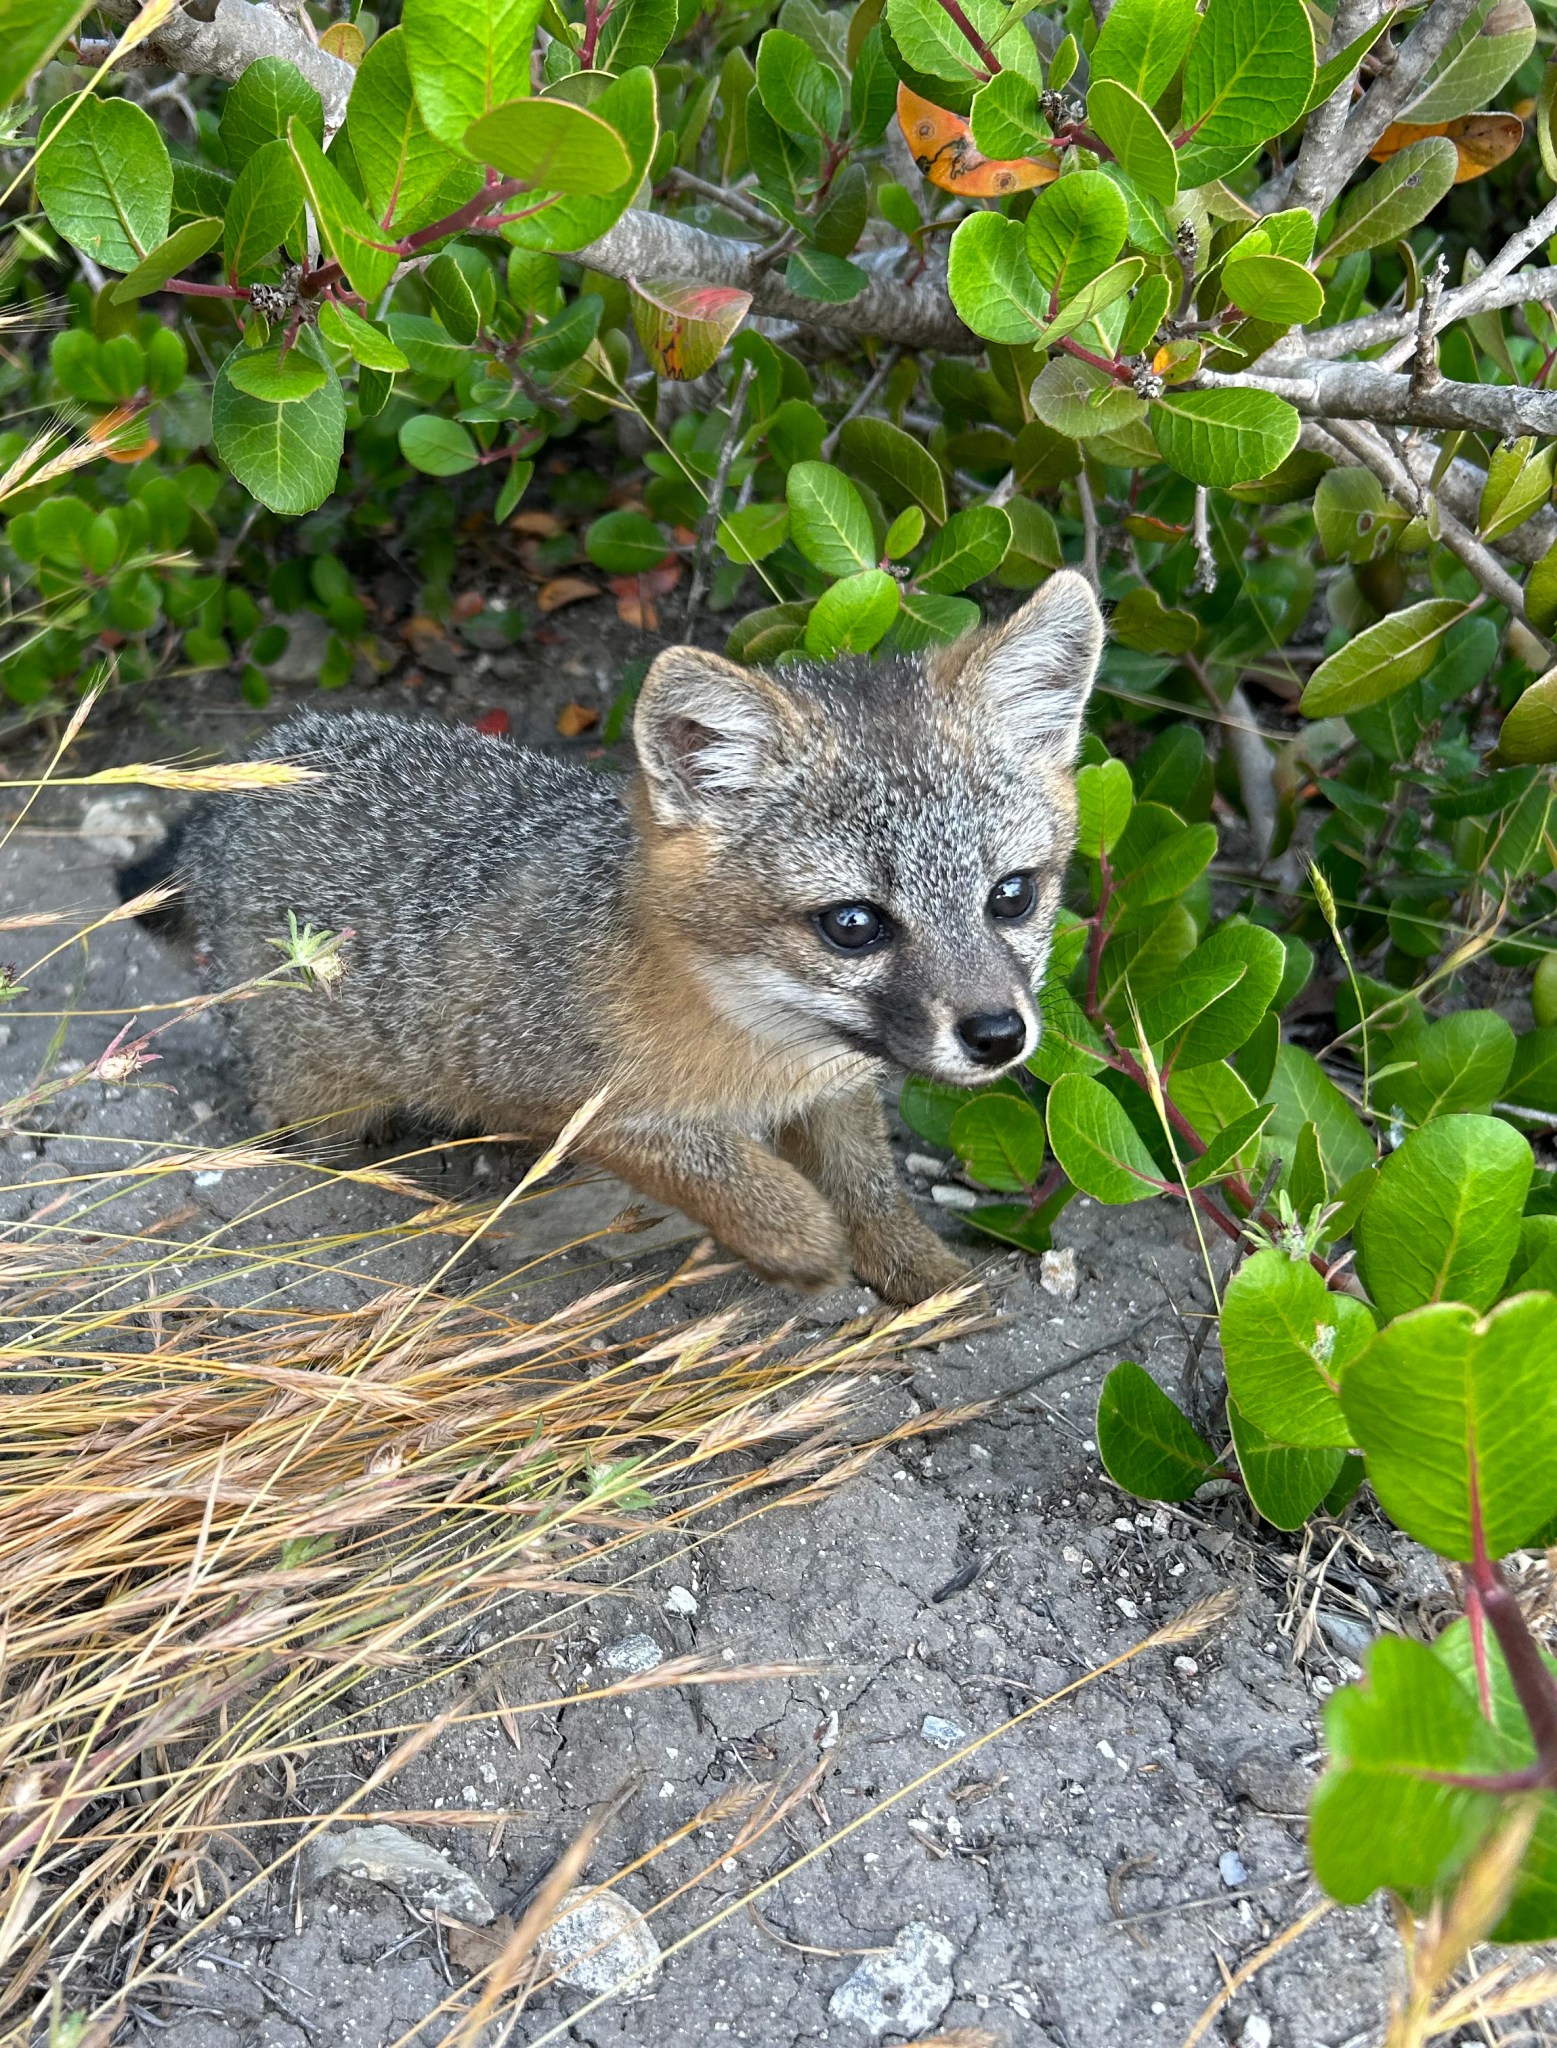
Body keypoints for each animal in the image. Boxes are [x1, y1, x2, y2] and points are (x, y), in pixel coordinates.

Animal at [118, 569, 1104, 1304]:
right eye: (853, 925)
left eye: (1012, 896)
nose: (996, 1035)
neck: (765, 1048)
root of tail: (269, 758)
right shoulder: (542, 1086)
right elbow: (708, 1160)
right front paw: (795, 1239)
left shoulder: (834, 1090)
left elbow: (872, 1187)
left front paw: (923, 1274)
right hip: (319, 1095)